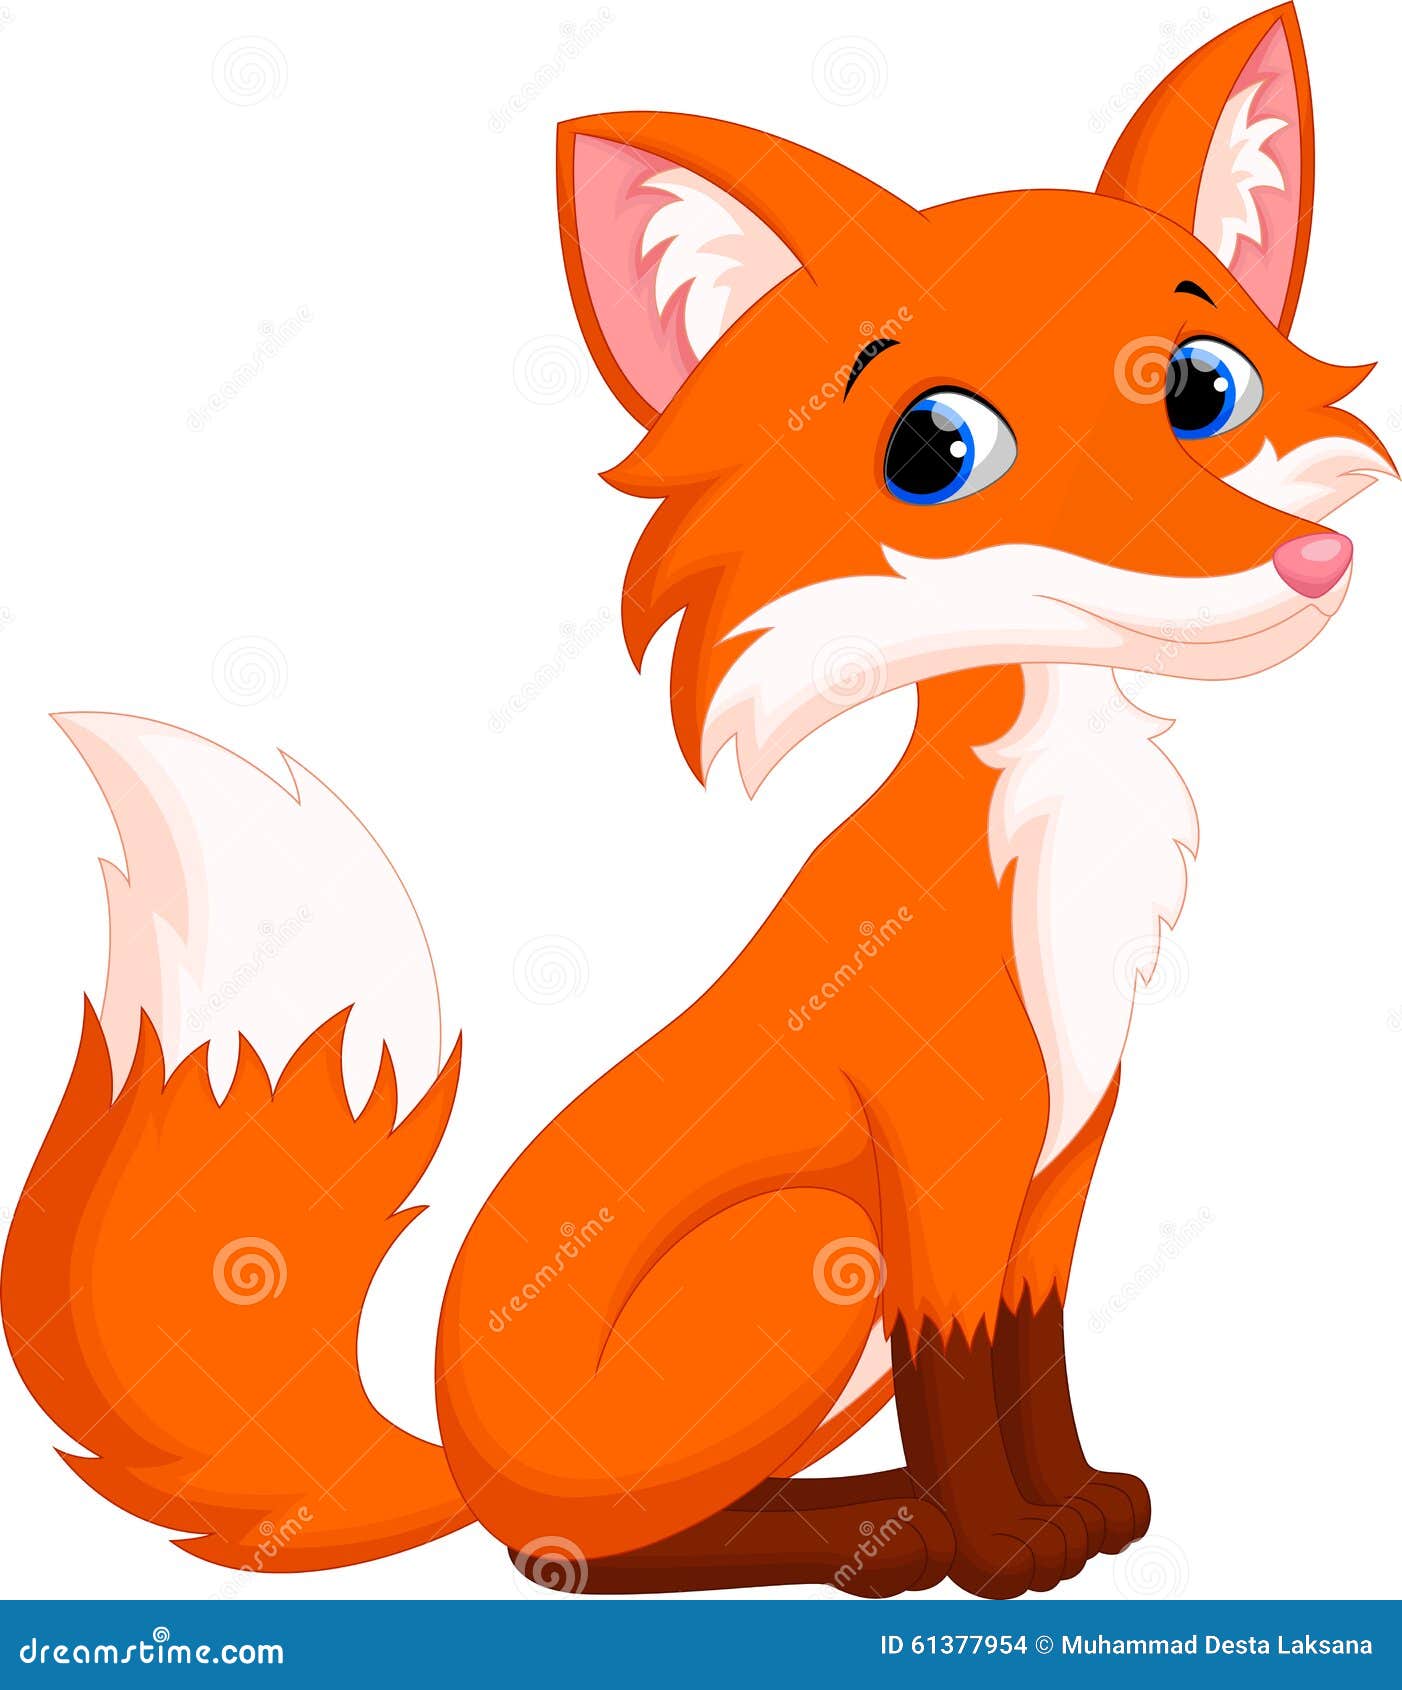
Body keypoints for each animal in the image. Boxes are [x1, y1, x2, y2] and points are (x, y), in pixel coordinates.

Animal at [3, 5, 1392, 1601]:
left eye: (1204, 386)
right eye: (935, 452)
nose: (1302, 563)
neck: (1052, 840)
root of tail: (453, 1456)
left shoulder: (1060, 1157)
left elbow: (1031, 1357)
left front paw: (1081, 1506)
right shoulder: (942, 1160)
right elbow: (959, 1369)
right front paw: (1005, 1552)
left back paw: (865, 1508)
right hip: (810, 1247)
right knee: (575, 1558)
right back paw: (871, 1534)